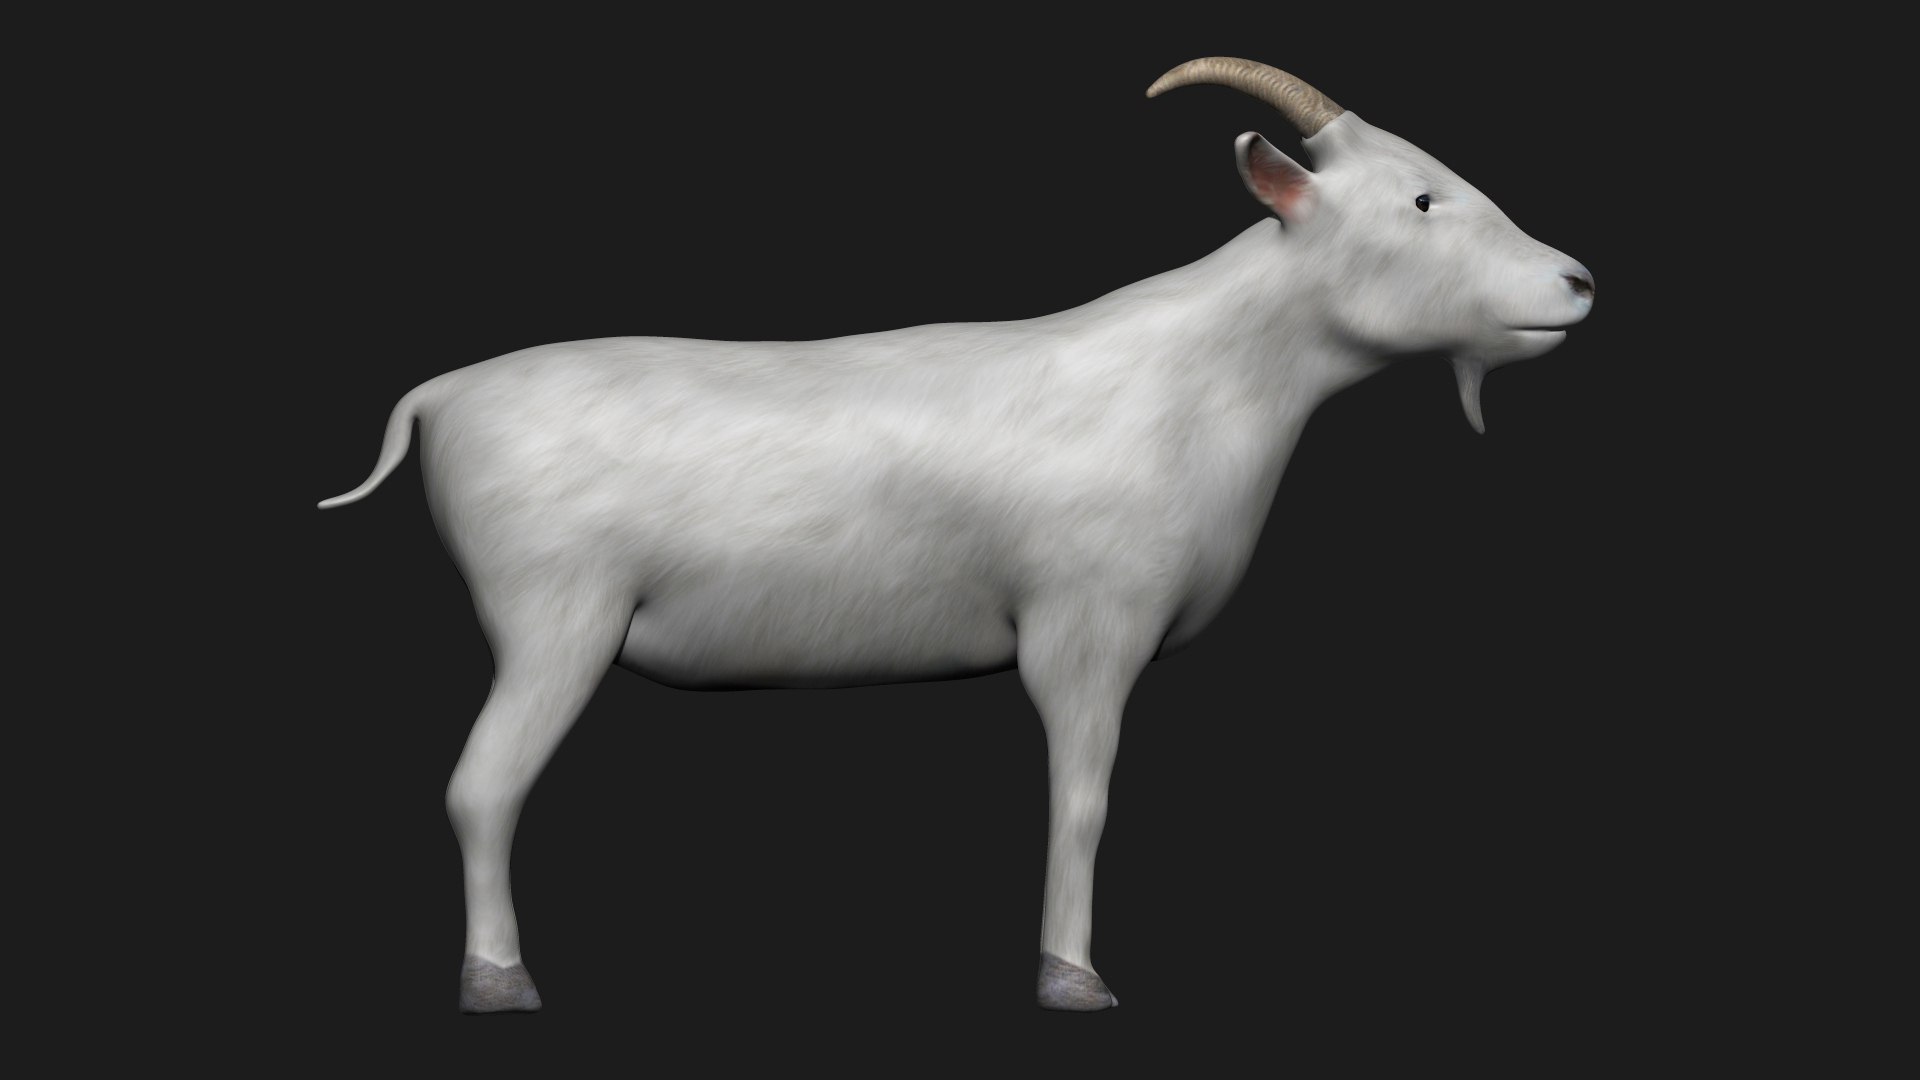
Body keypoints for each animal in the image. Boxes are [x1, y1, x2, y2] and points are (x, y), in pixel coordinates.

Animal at [320, 57, 1594, 1012]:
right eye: (1419, 198)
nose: (1576, 282)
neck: (1195, 377)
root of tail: (439, 393)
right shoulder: (1086, 629)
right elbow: (1082, 803)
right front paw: (1072, 978)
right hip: (553, 618)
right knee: (480, 788)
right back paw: (499, 981)